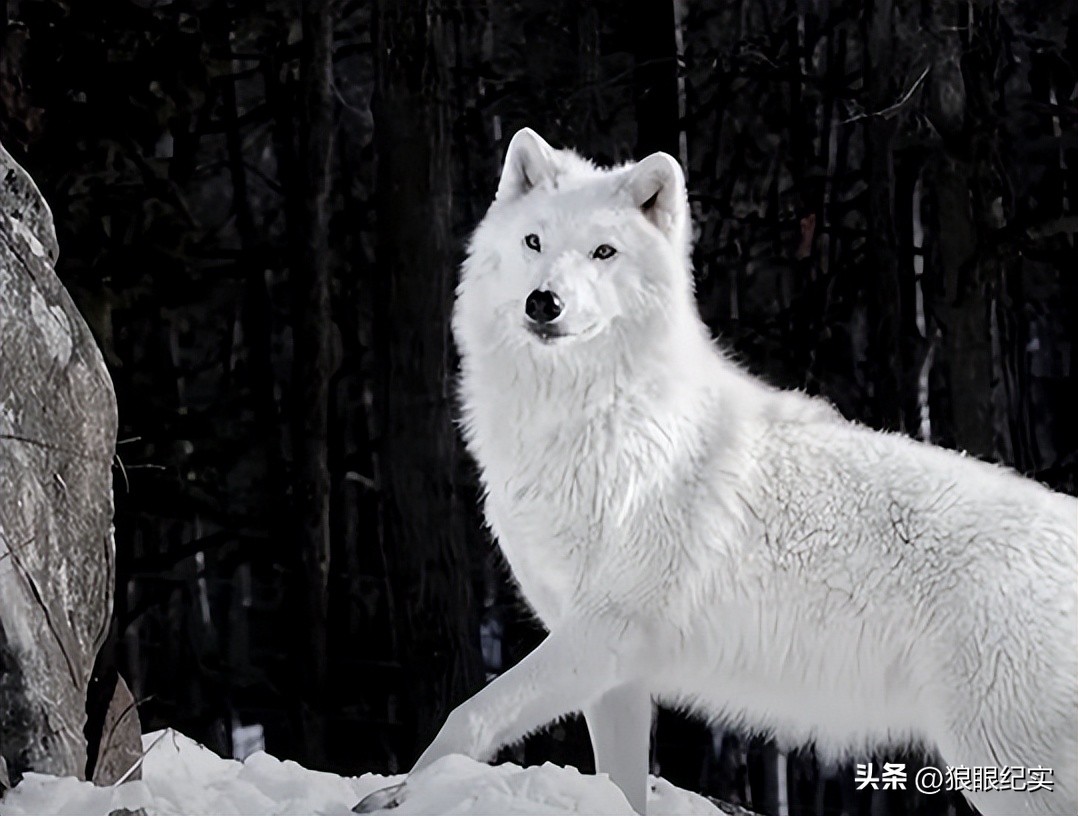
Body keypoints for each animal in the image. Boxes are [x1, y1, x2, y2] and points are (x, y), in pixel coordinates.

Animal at [356, 129, 1078, 816]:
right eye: (534, 241)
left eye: (603, 253)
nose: (544, 303)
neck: (591, 424)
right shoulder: (611, 670)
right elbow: (620, 785)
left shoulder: (603, 632)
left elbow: (467, 715)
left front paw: (398, 794)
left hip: (1004, 766)